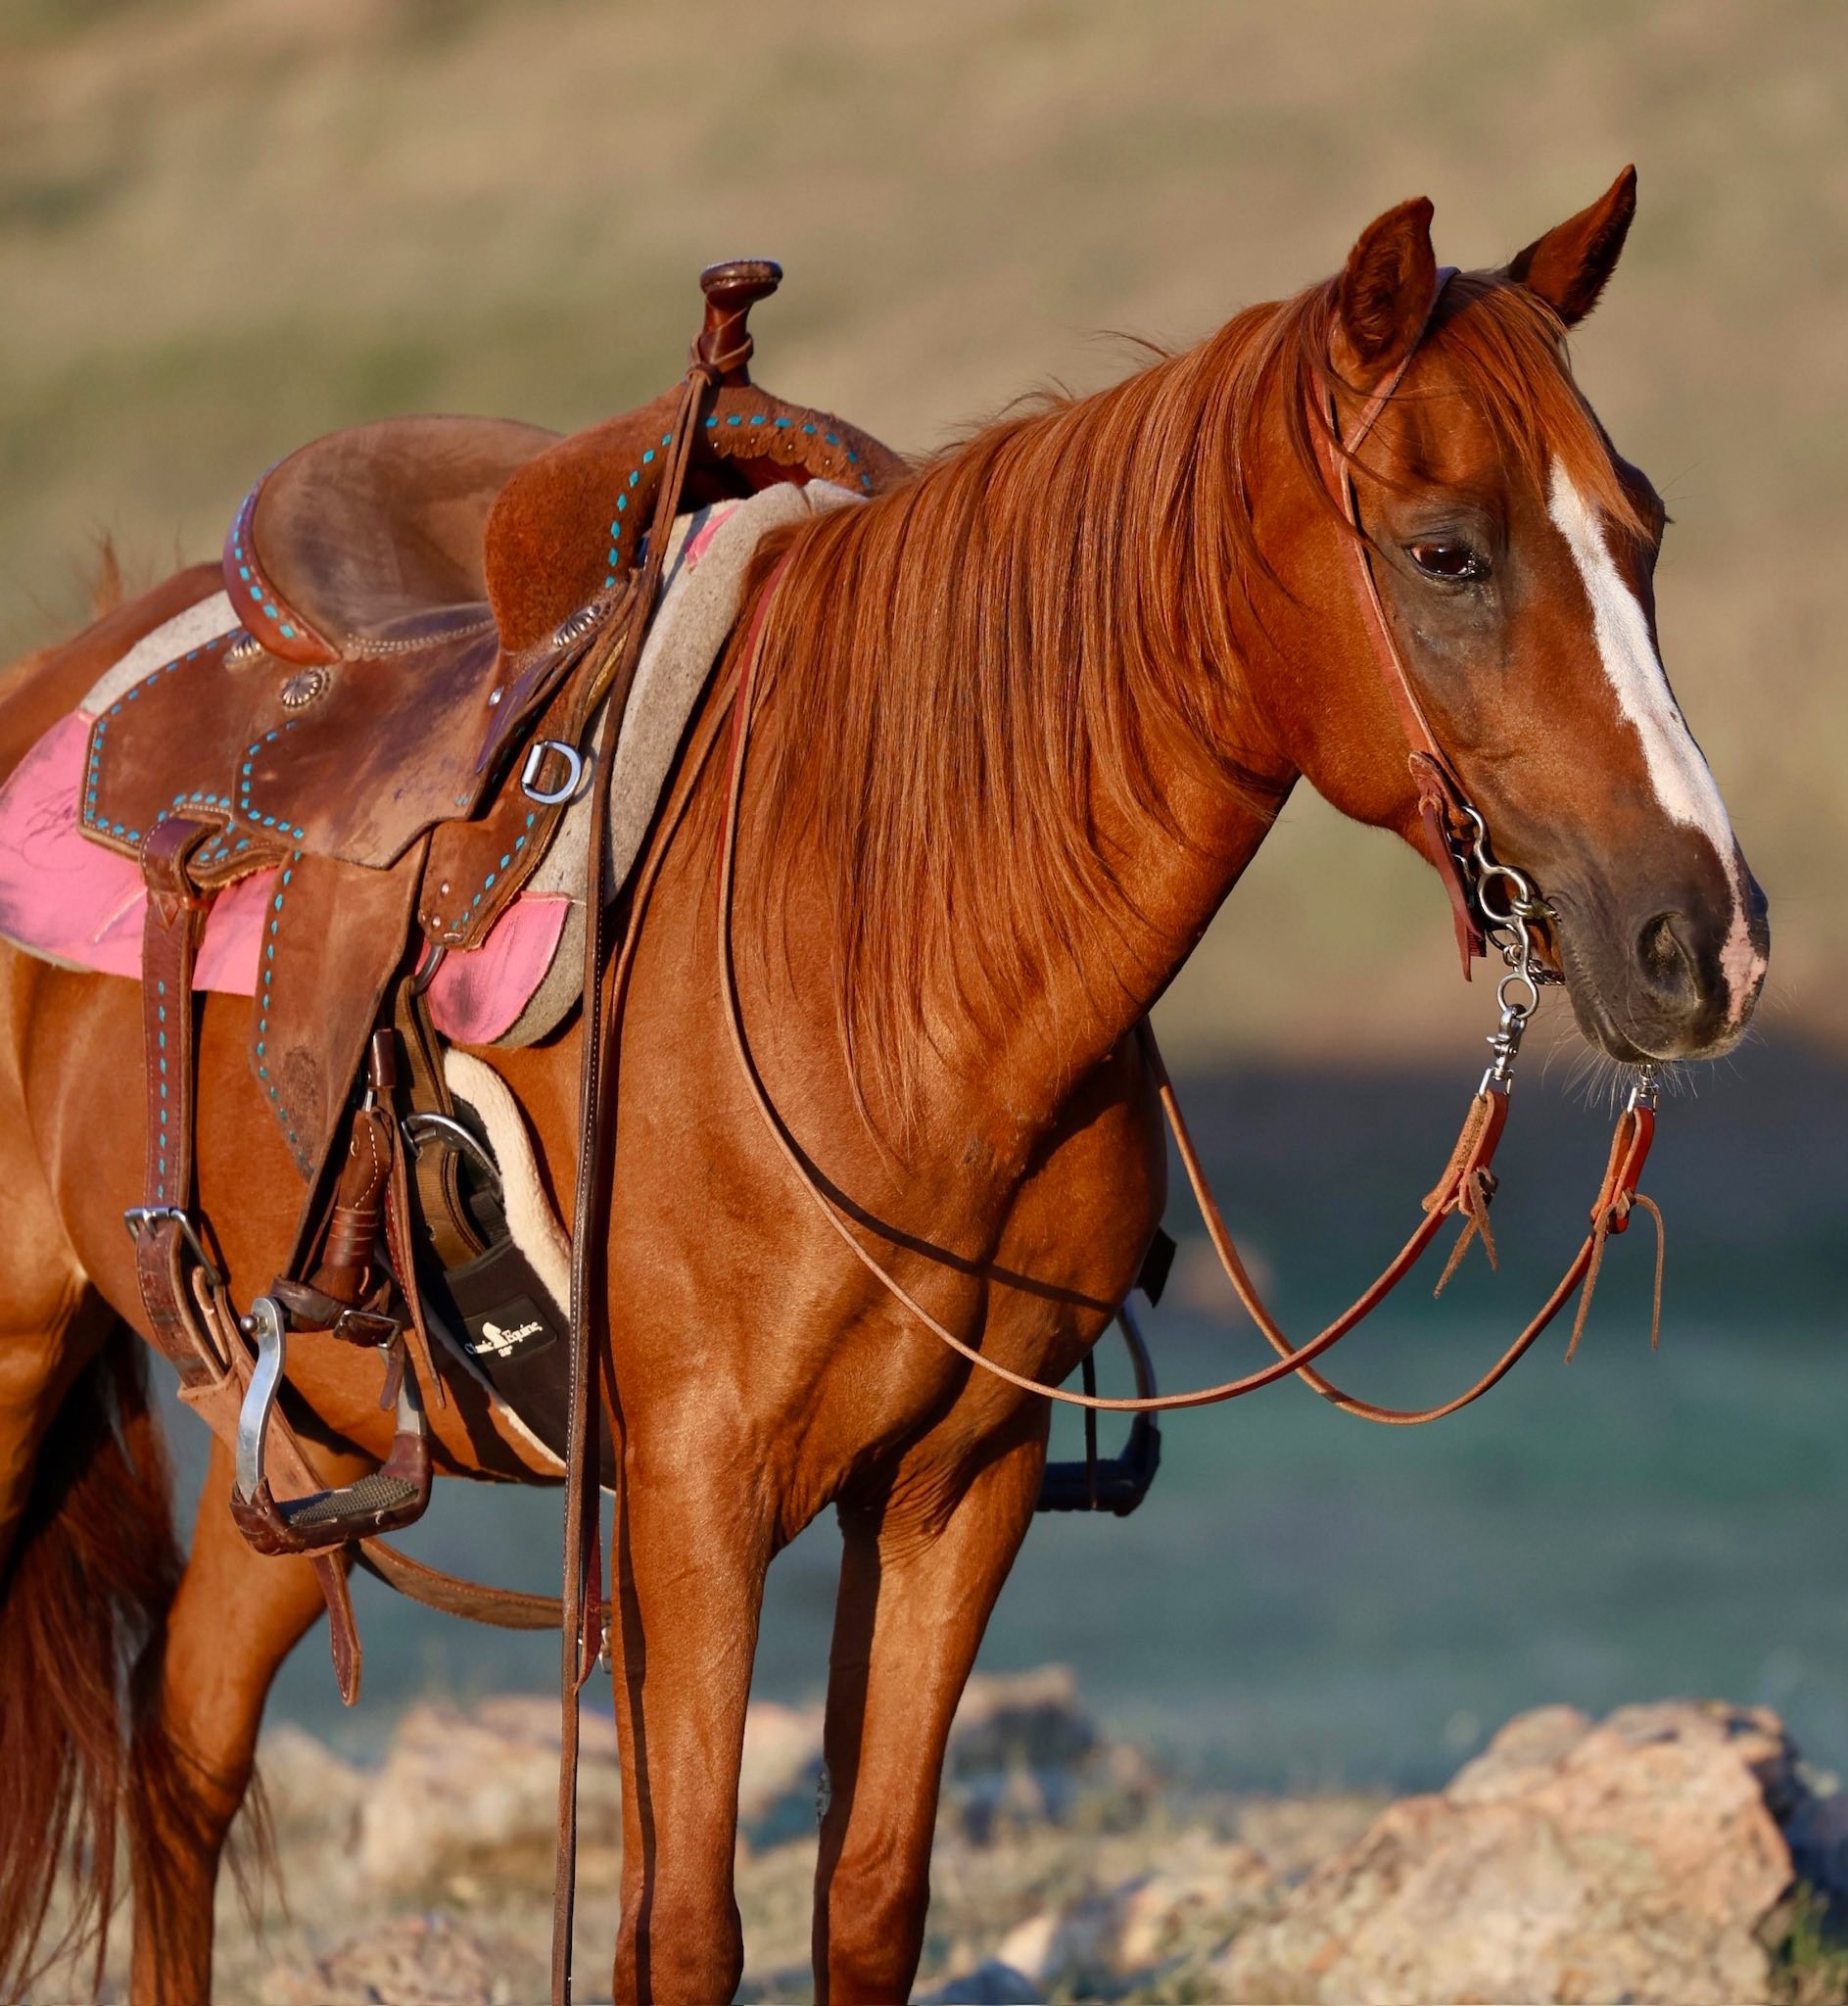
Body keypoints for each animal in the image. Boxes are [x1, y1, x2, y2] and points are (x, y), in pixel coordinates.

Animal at [0, 169, 1768, 2004]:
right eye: (1443, 551)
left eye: (1641, 531)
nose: (1701, 941)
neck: (888, 979)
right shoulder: (695, 1501)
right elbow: (684, 1930)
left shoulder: (951, 1484)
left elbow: (866, 1895)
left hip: (307, 1437)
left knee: (181, 1755)